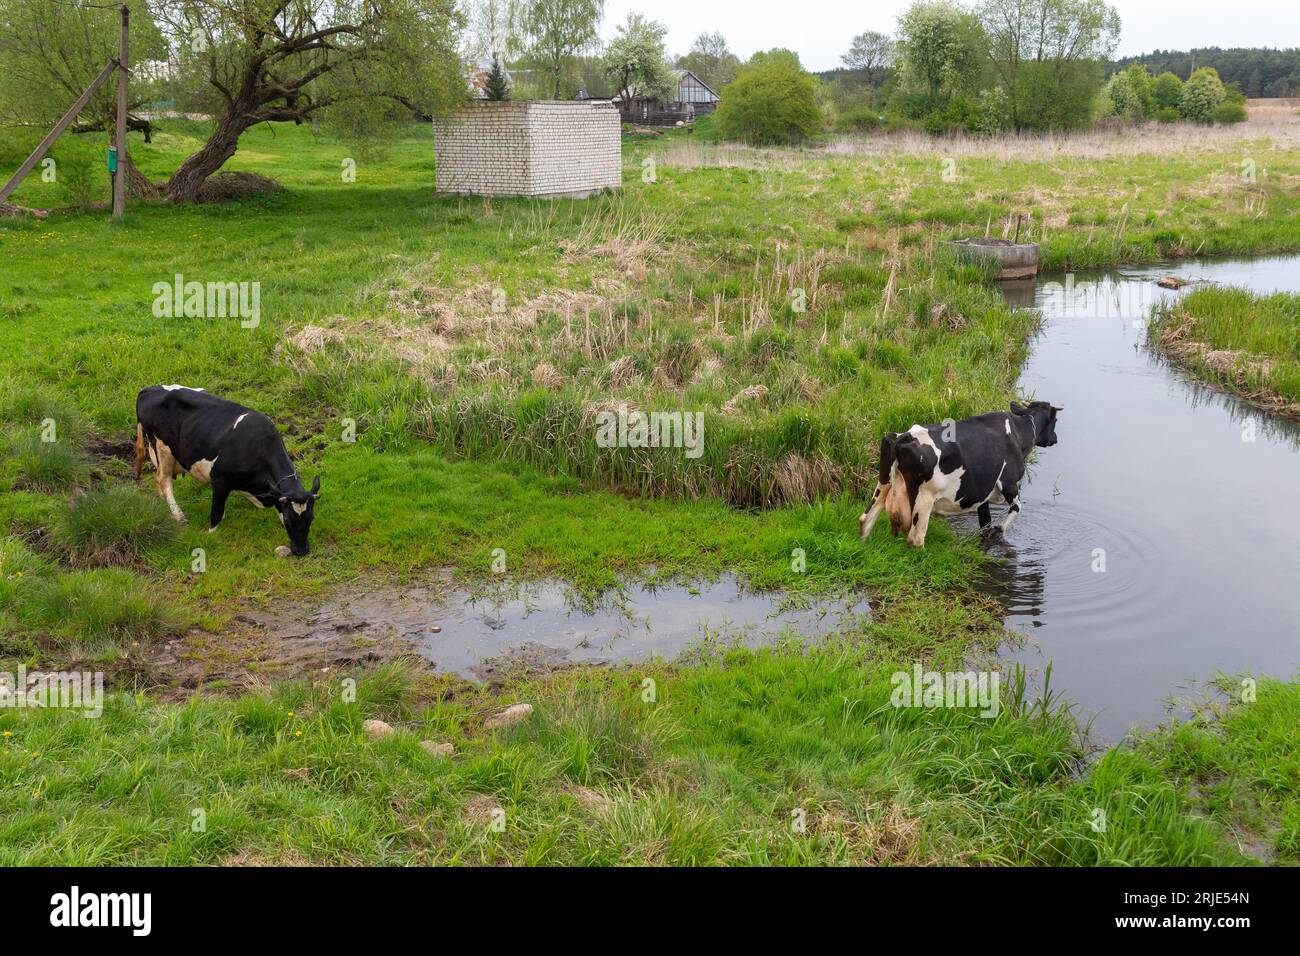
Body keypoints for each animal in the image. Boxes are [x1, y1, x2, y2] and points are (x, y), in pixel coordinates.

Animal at [134, 385, 321, 556]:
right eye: (288, 520)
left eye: (311, 518)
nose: (301, 551)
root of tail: (149, 389)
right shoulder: (219, 480)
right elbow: (217, 513)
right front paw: (210, 534)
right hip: (162, 448)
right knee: (163, 480)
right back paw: (179, 515)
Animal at [858, 401, 1062, 548]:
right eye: (1056, 421)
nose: (1055, 439)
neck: (1019, 434)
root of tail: (904, 436)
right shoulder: (1009, 482)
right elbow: (1017, 507)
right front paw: (1000, 529)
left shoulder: (983, 492)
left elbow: (985, 522)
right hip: (924, 498)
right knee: (915, 539)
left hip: (884, 482)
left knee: (866, 518)